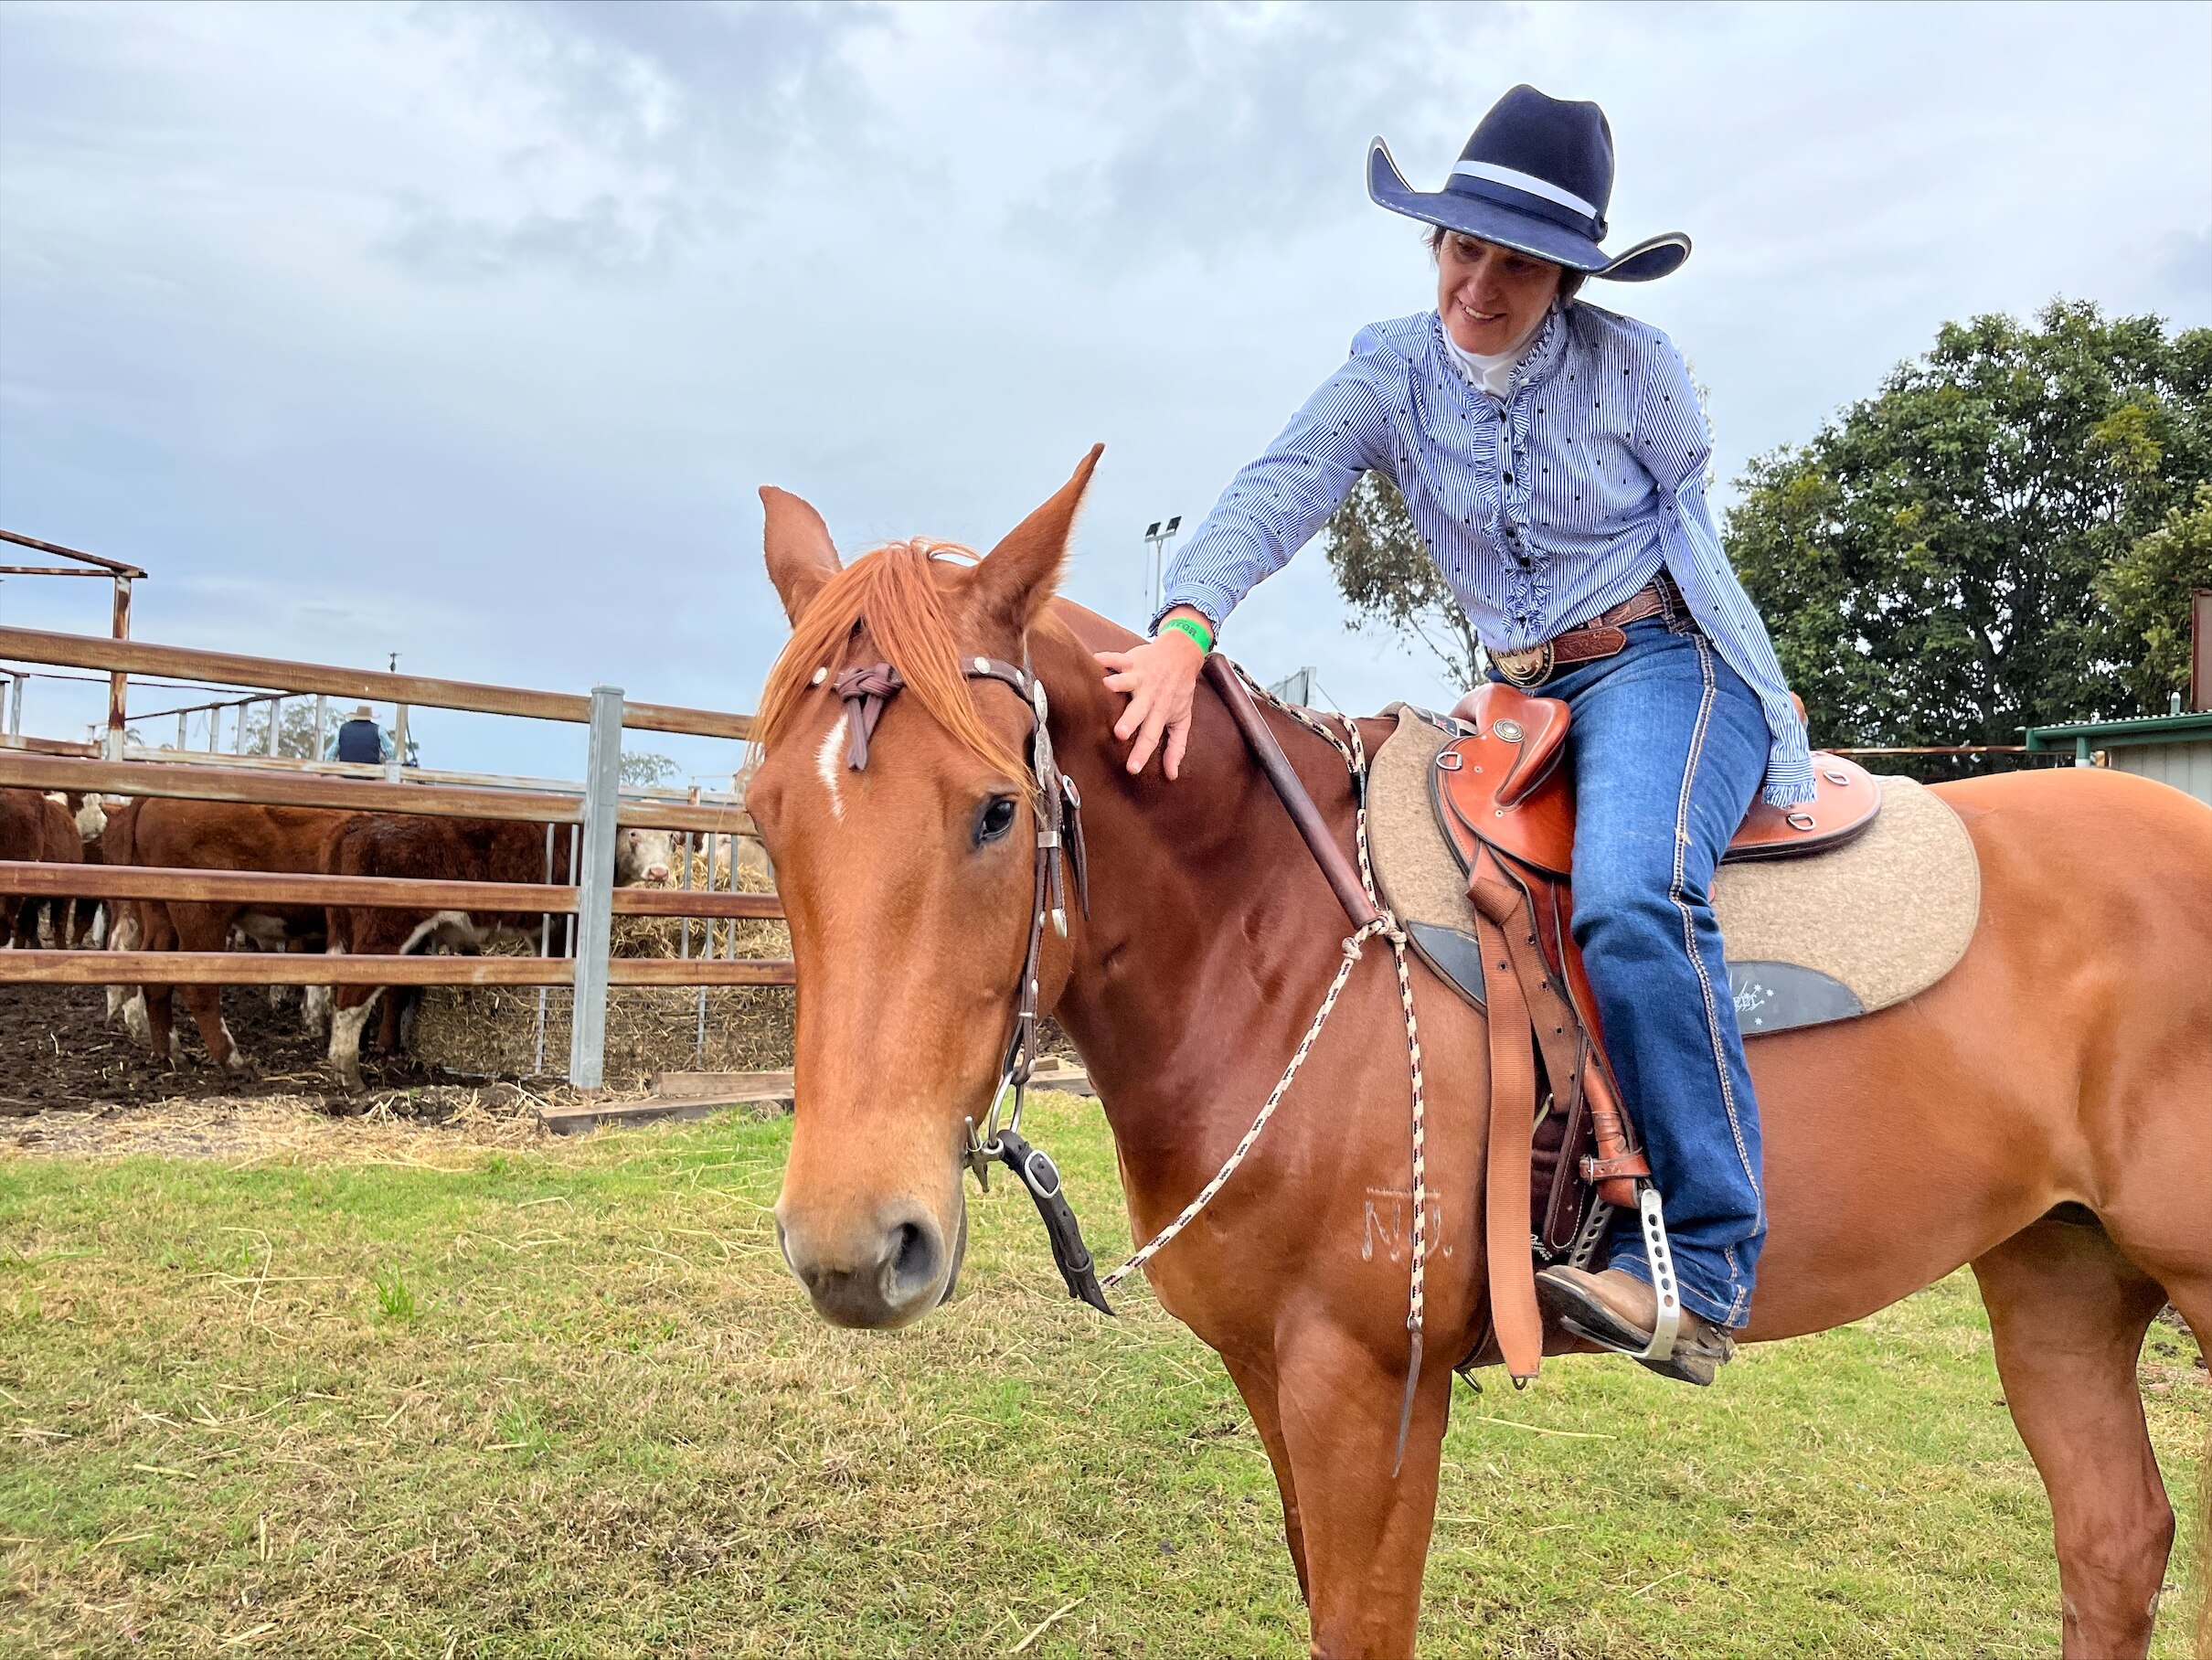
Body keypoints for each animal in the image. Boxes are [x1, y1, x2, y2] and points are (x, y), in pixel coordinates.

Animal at [749, 450, 2212, 1659]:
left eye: (998, 810)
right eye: (764, 818)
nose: (854, 1246)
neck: (1272, 940)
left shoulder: (1367, 1389)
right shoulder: (1274, 1377)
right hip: (2058, 1272)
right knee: (2114, 1540)